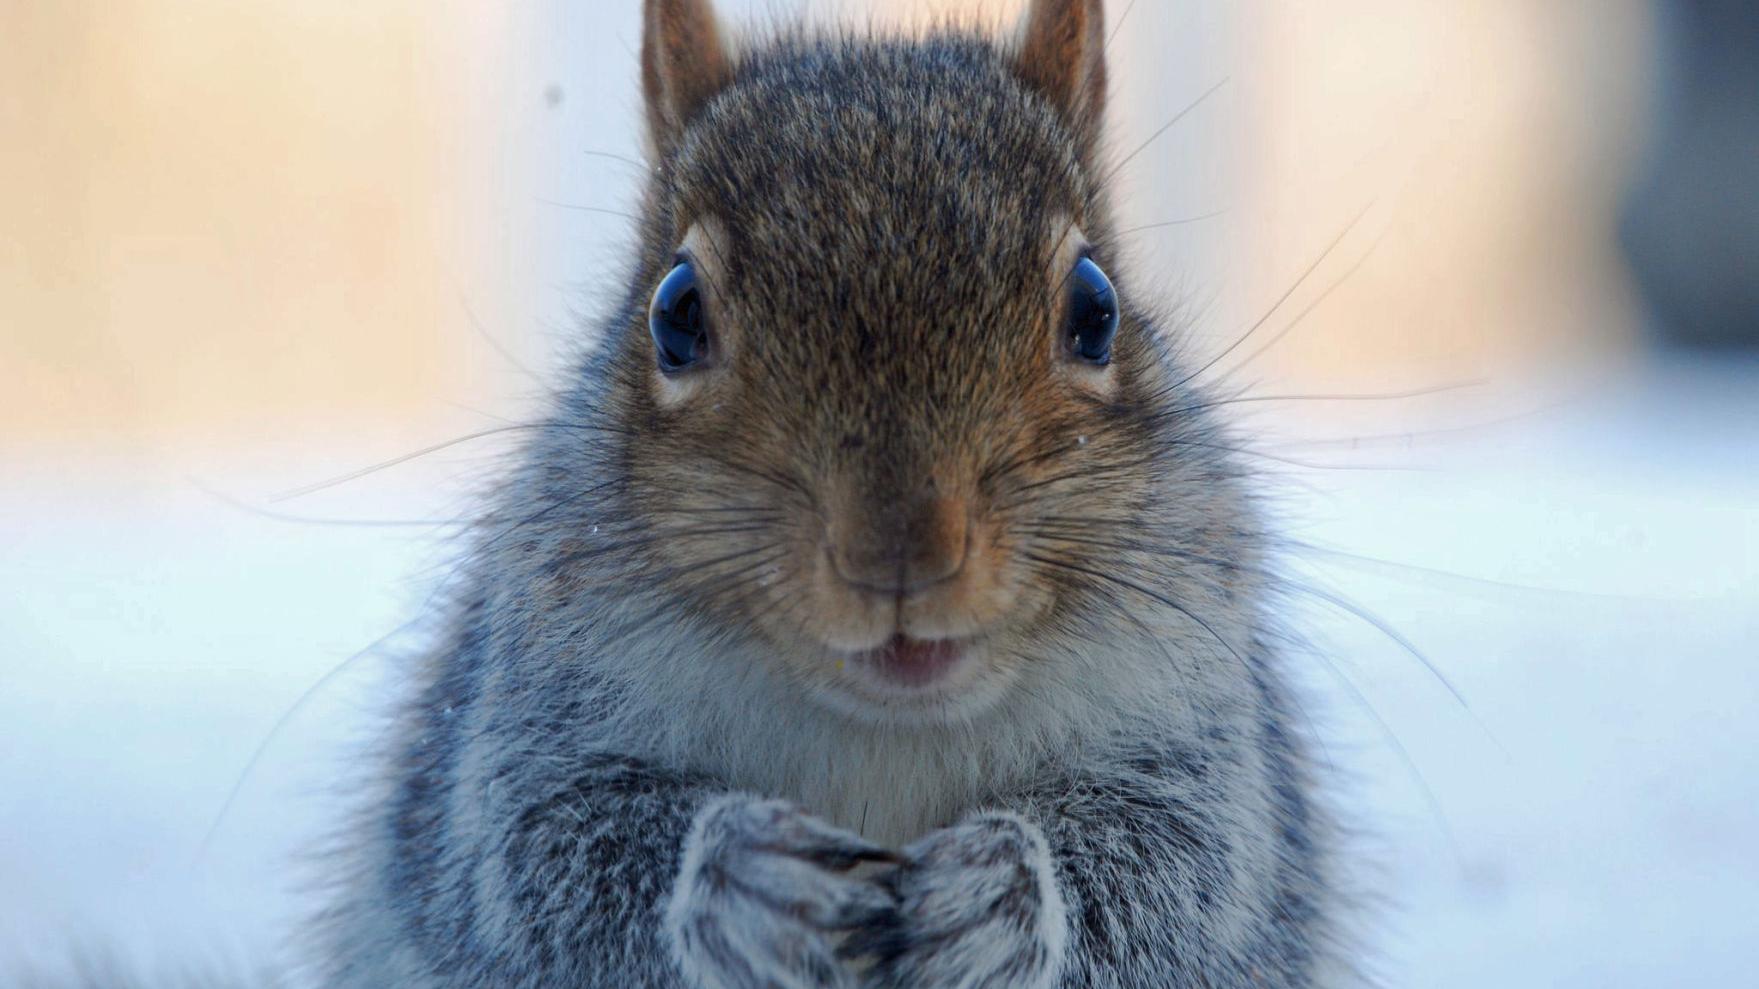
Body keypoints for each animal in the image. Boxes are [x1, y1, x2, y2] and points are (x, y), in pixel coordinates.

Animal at [315, 1, 1340, 986]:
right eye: (674, 313)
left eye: (1096, 310)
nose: (899, 554)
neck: (883, 725)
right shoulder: (532, 714)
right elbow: (534, 858)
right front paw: (744, 880)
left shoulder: (1193, 719)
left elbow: (1188, 867)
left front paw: (999, 891)